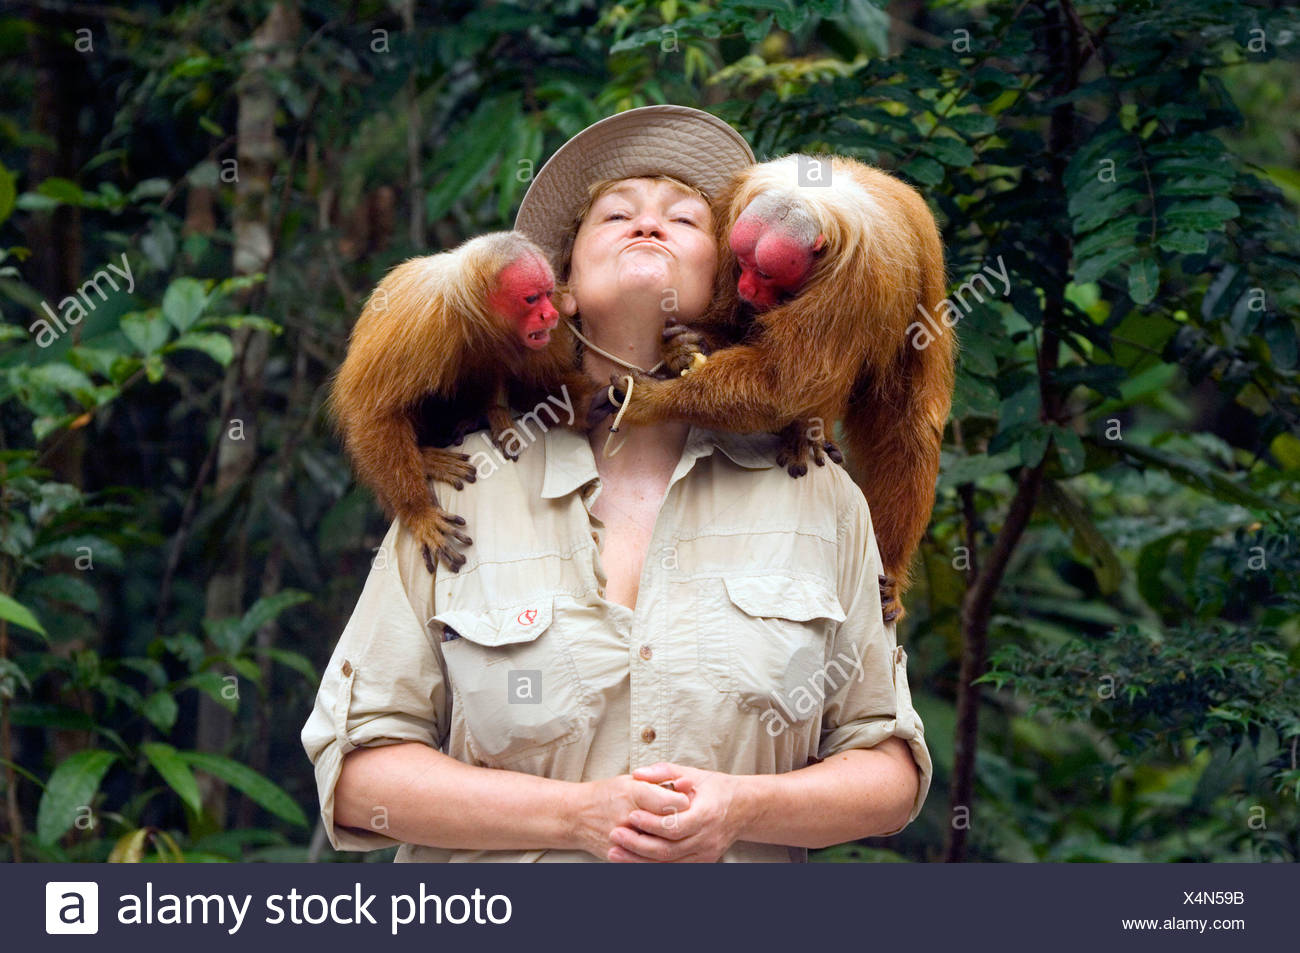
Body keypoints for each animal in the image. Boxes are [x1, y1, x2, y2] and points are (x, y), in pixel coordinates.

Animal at [590, 155, 955, 621]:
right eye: (743, 264)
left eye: (763, 271)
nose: (747, 287)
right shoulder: (727, 224)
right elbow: (735, 328)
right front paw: (684, 347)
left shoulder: (855, 280)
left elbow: (787, 382)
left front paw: (654, 400)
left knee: (908, 426)